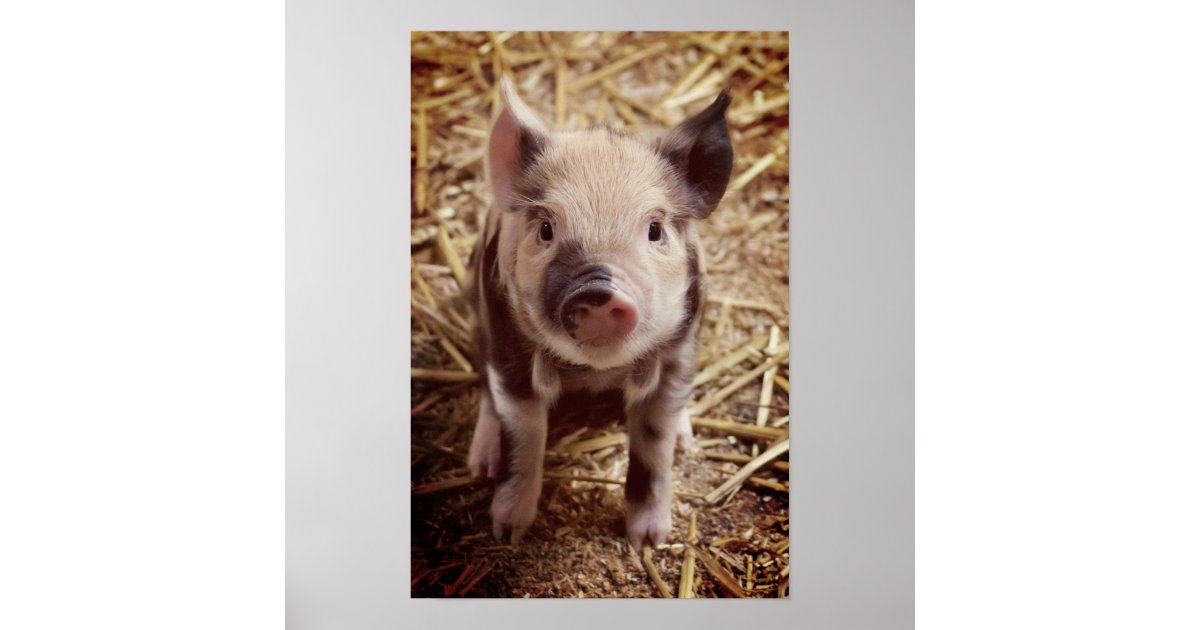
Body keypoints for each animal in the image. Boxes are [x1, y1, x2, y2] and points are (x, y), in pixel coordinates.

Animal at [464, 78, 733, 548]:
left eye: (655, 230)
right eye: (546, 229)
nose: (598, 290)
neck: (595, 372)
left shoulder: (680, 351)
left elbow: (654, 442)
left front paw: (649, 541)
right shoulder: (507, 347)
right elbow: (525, 436)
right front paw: (507, 532)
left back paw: (686, 441)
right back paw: (480, 465)